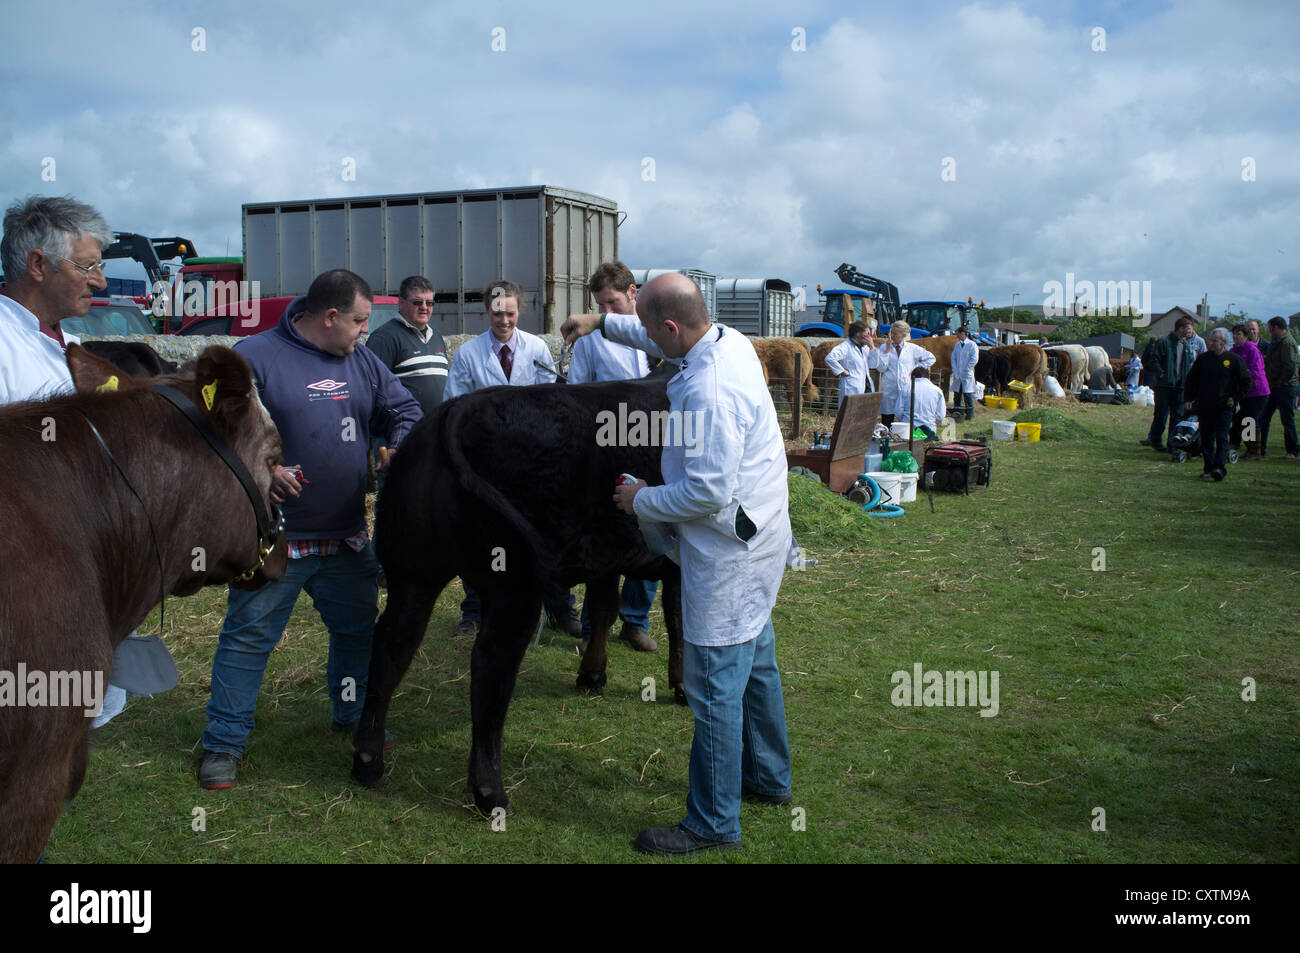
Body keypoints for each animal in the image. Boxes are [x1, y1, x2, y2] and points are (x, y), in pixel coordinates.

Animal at [351, 377, 686, 816]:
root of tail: (457, 410)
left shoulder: (607, 559)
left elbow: (603, 610)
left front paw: (592, 674)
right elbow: (680, 622)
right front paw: (682, 687)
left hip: (412, 573)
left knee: (393, 645)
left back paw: (367, 761)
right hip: (515, 584)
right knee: (491, 662)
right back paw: (489, 790)